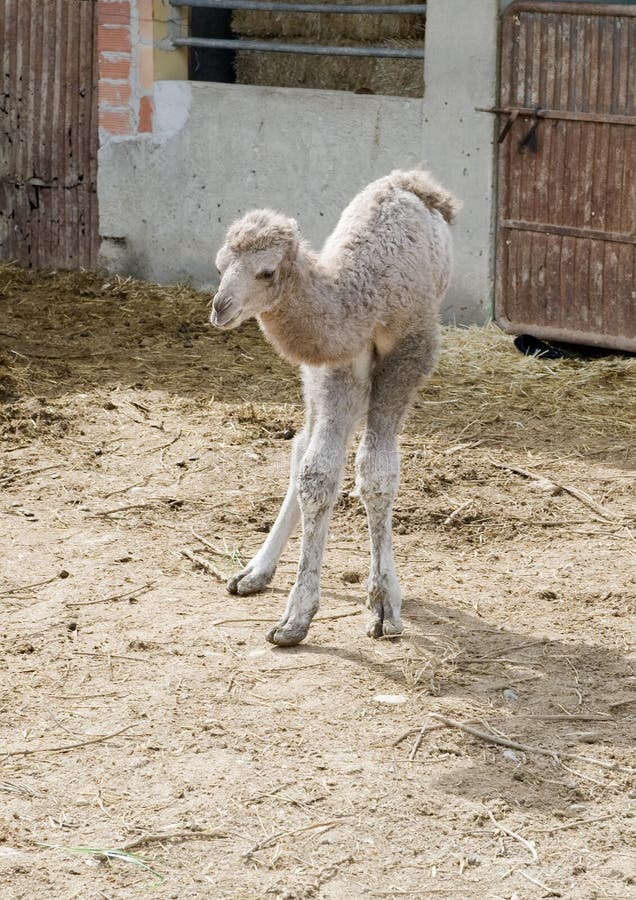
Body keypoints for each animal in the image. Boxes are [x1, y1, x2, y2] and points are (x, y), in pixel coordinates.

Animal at [211, 169, 460, 646]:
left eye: (266, 271)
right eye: (219, 265)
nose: (220, 308)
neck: (361, 297)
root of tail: (417, 185)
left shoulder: (407, 356)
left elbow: (377, 474)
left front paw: (383, 607)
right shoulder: (337, 368)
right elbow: (317, 475)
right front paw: (295, 618)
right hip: (321, 381)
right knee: (301, 447)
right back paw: (253, 573)